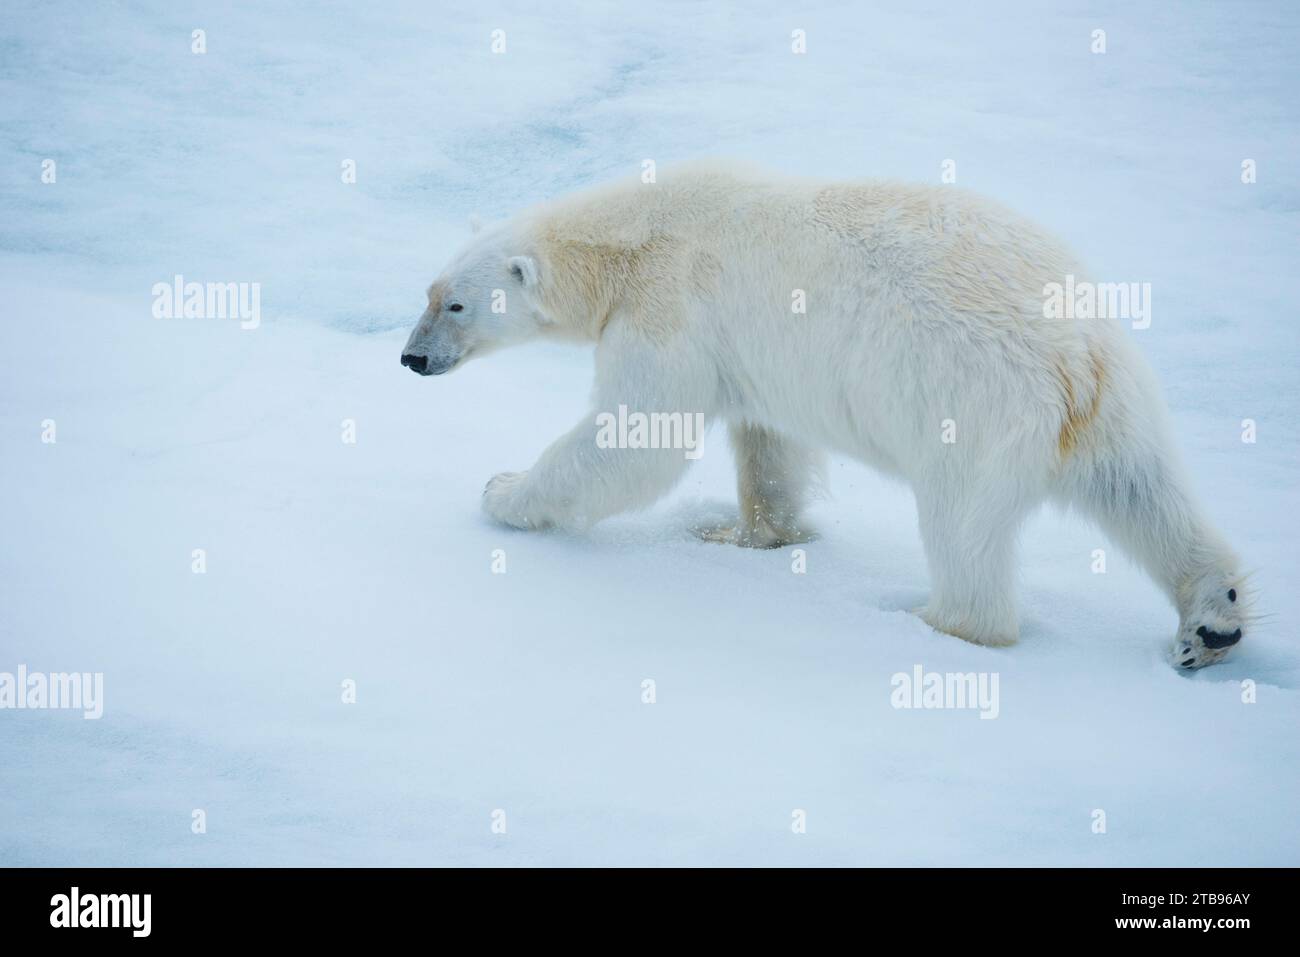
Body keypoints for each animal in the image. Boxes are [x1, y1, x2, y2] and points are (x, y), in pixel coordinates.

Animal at [400, 162, 1250, 669]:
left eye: (457, 304)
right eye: (427, 290)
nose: (411, 358)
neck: (633, 234)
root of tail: (1073, 356)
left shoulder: (669, 304)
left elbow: (637, 435)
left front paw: (502, 489)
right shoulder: (746, 350)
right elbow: (768, 445)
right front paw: (738, 532)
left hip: (973, 406)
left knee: (963, 527)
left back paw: (934, 619)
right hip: (1122, 395)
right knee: (1148, 491)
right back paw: (1212, 620)